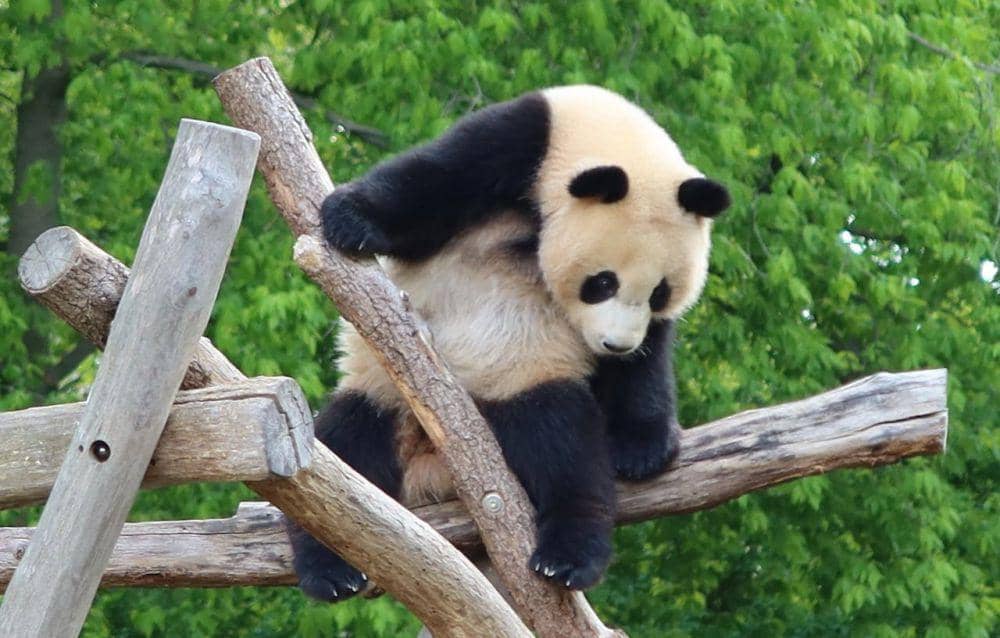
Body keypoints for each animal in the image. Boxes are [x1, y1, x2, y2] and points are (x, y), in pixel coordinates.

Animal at [289, 85, 730, 602]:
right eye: (602, 282)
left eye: (660, 292)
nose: (614, 344)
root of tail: (434, 473)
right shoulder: (520, 139)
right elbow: (431, 185)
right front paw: (349, 218)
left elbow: (645, 365)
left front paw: (642, 448)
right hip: (383, 390)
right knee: (344, 448)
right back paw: (331, 570)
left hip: (523, 379)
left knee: (562, 444)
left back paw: (567, 557)